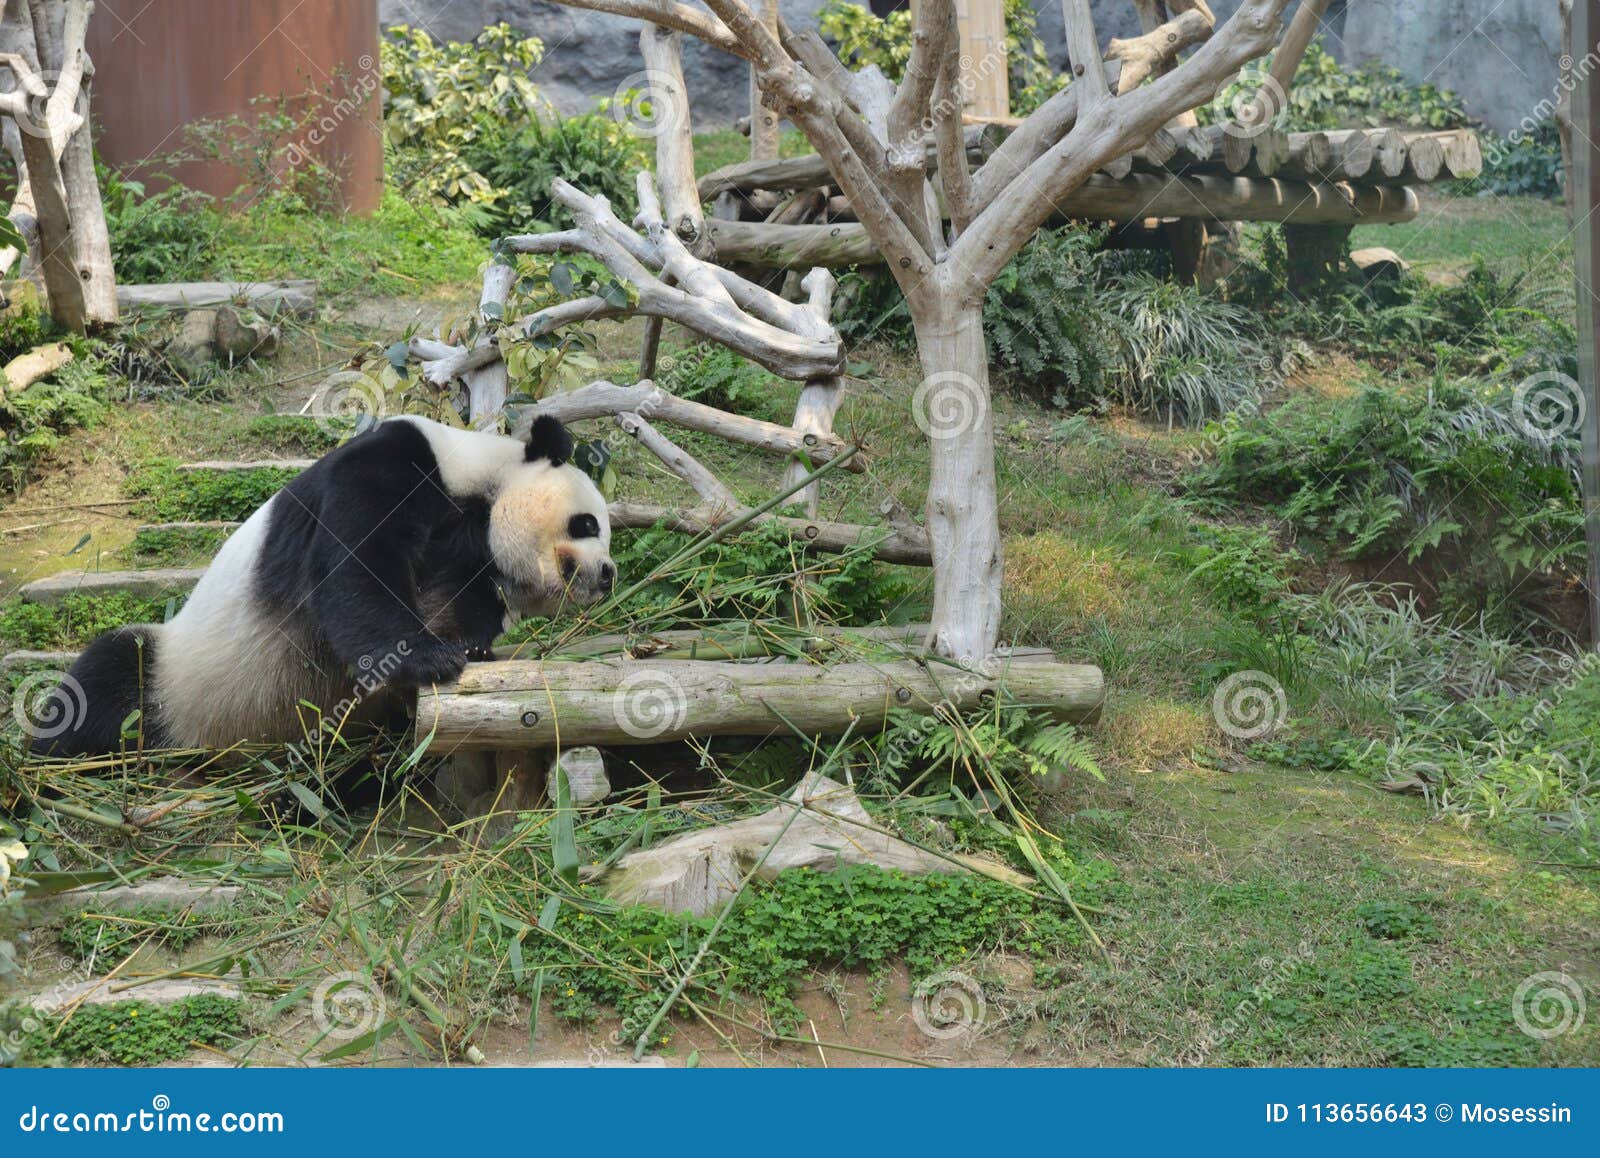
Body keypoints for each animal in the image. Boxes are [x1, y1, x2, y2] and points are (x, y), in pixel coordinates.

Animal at [34, 414, 615, 756]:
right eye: (587, 524)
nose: (609, 576)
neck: (480, 487)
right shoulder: (401, 464)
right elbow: (358, 561)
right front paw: (428, 659)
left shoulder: (467, 558)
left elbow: (463, 600)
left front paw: (472, 650)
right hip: (173, 674)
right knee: (105, 682)